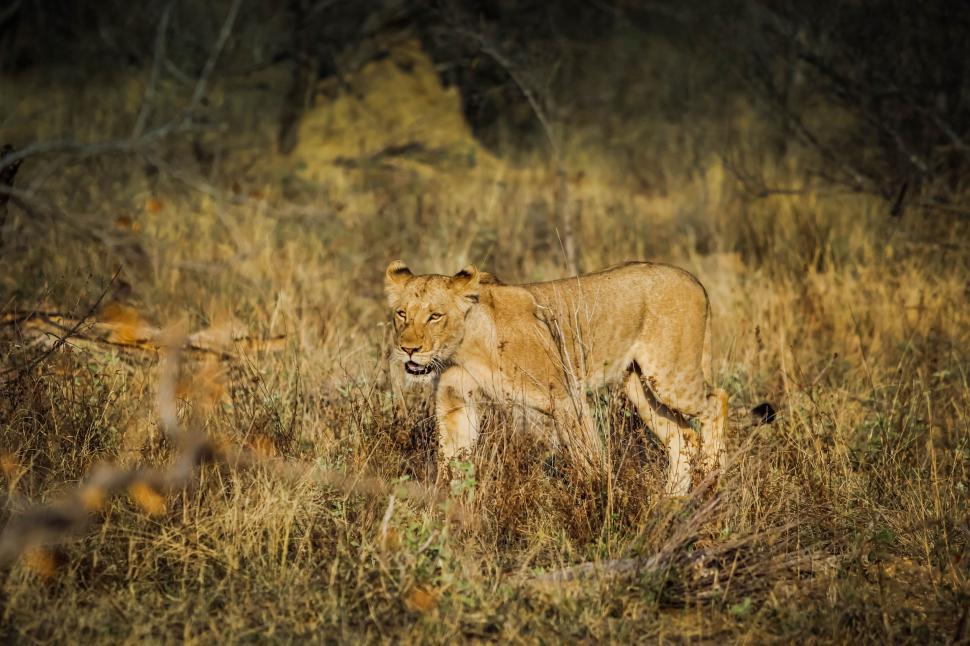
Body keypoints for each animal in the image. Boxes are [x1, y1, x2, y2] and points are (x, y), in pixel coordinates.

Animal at [384, 260, 729, 494]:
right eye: (402, 314)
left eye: (435, 316)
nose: (408, 349)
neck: (466, 345)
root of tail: (693, 279)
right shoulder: (455, 402)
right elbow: (454, 460)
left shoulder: (565, 394)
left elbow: (588, 457)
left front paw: (600, 499)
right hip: (638, 386)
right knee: (683, 436)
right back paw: (671, 500)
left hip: (670, 375)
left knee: (717, 399)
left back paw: (713, 475)